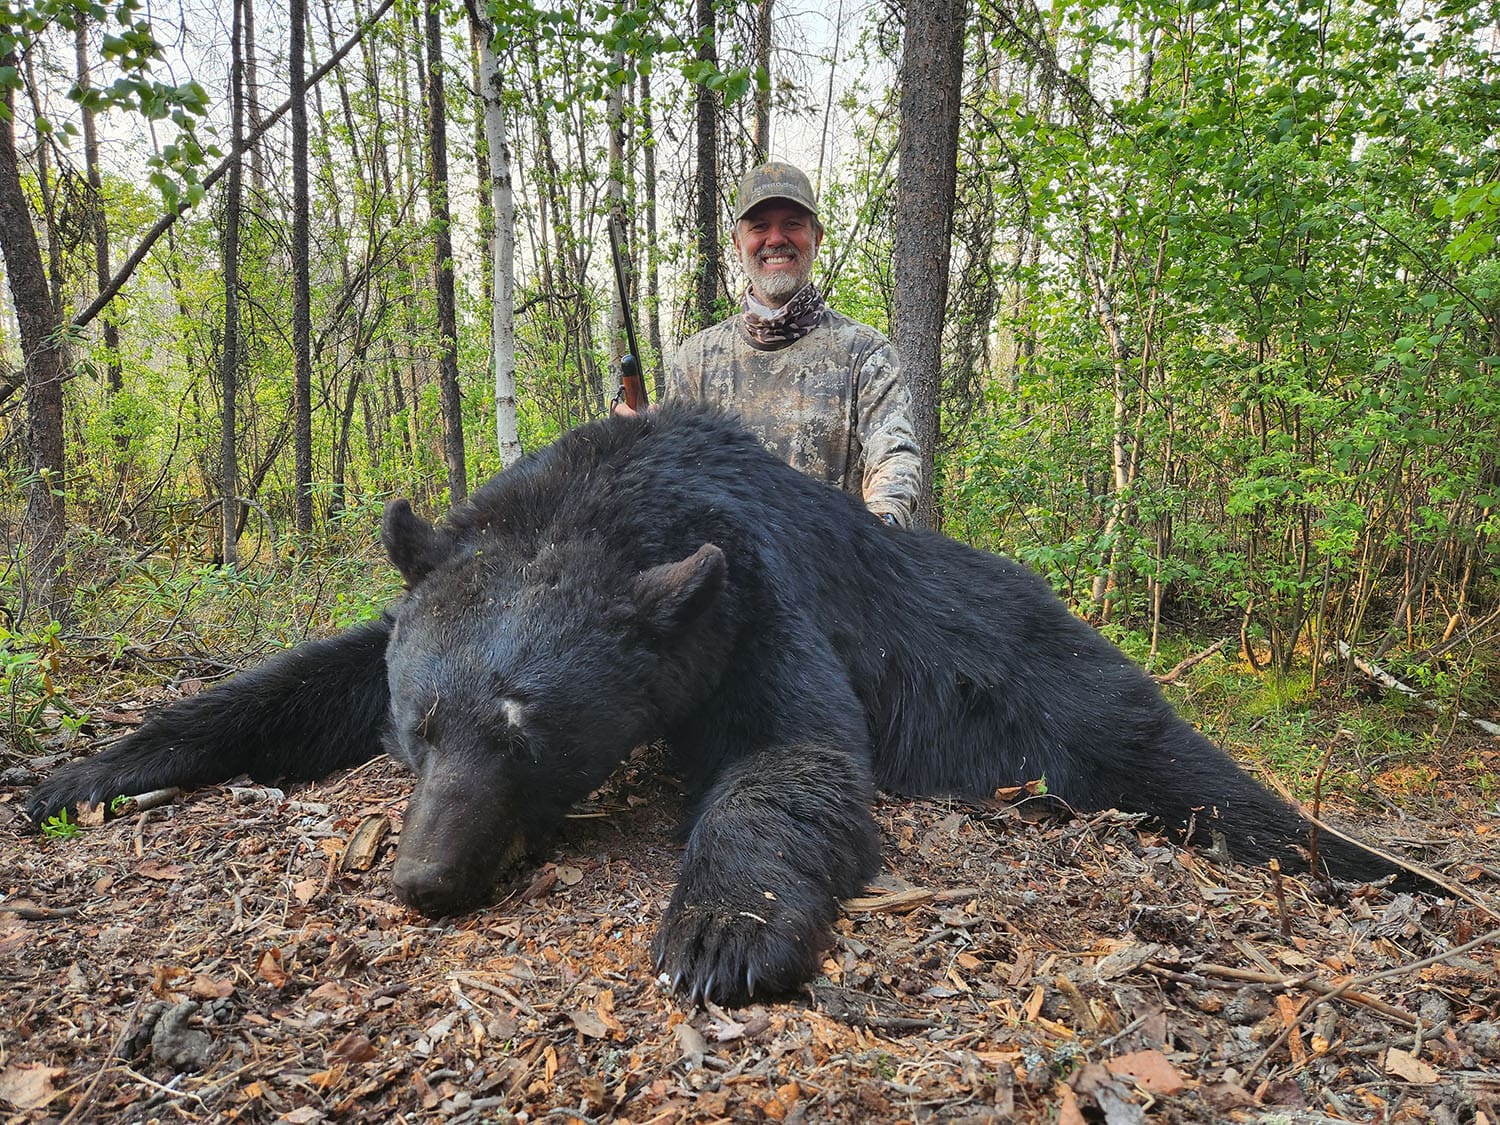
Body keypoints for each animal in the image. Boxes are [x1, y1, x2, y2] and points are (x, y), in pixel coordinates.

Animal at [29, 404, 1402, 1005]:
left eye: (527, 730)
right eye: (419, 728)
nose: (423, 878)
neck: (618, 495)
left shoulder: (751, 597)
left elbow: (792, 757)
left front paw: (717, 933)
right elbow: (300, 678)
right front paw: (83, 772)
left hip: (1066, 693)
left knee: (1178, 762)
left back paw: (1362, 860)